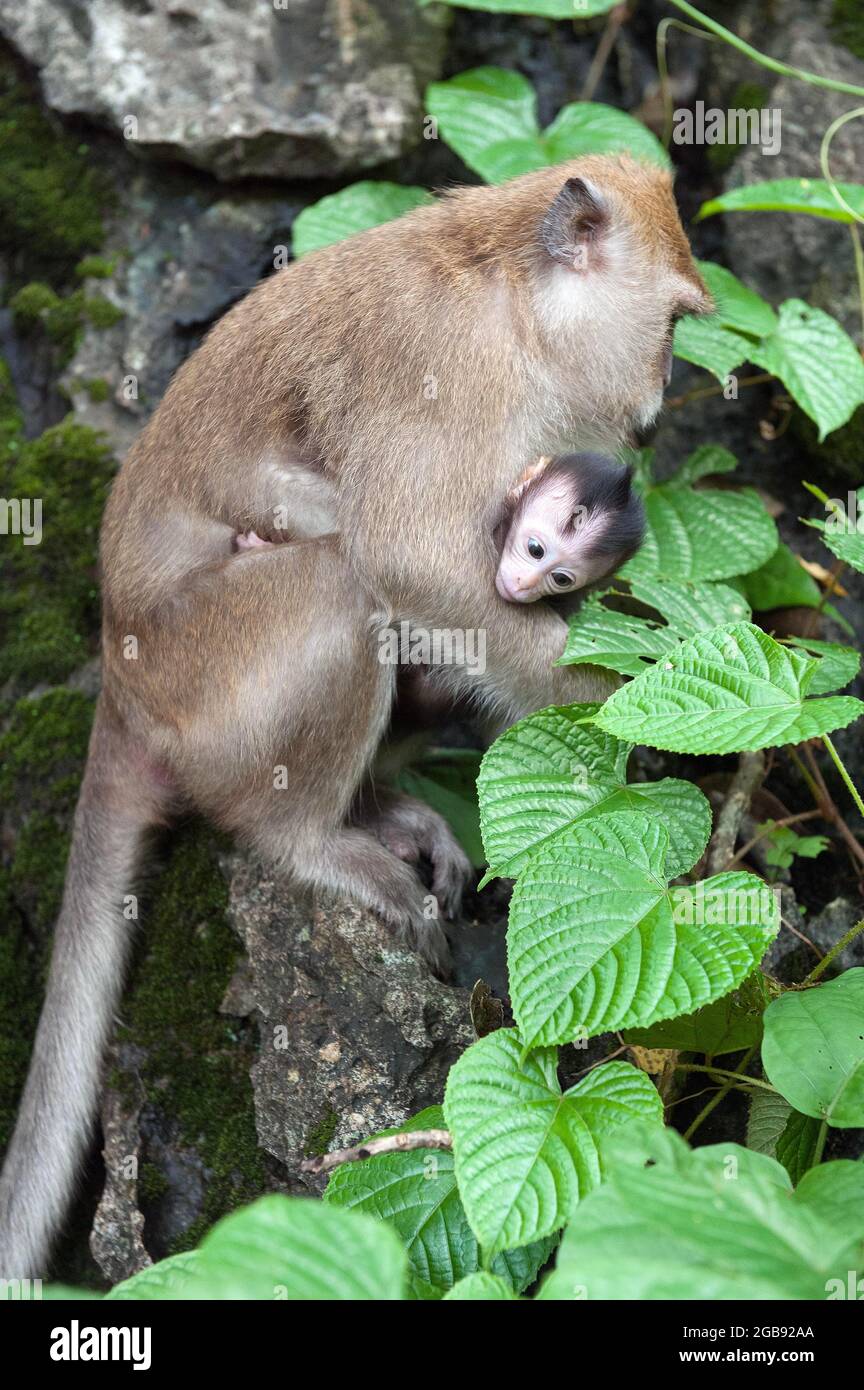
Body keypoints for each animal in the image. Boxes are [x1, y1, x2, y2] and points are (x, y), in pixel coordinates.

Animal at [0, 156, 711, 1276]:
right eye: (678, 321)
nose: (658, 399)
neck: (512, 298)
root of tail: (121, 677)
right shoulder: (451, 380)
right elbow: (408, 555)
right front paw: (619, 709)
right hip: (208, 675)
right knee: (342, 588)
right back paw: (315, 841)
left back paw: (383, 806)